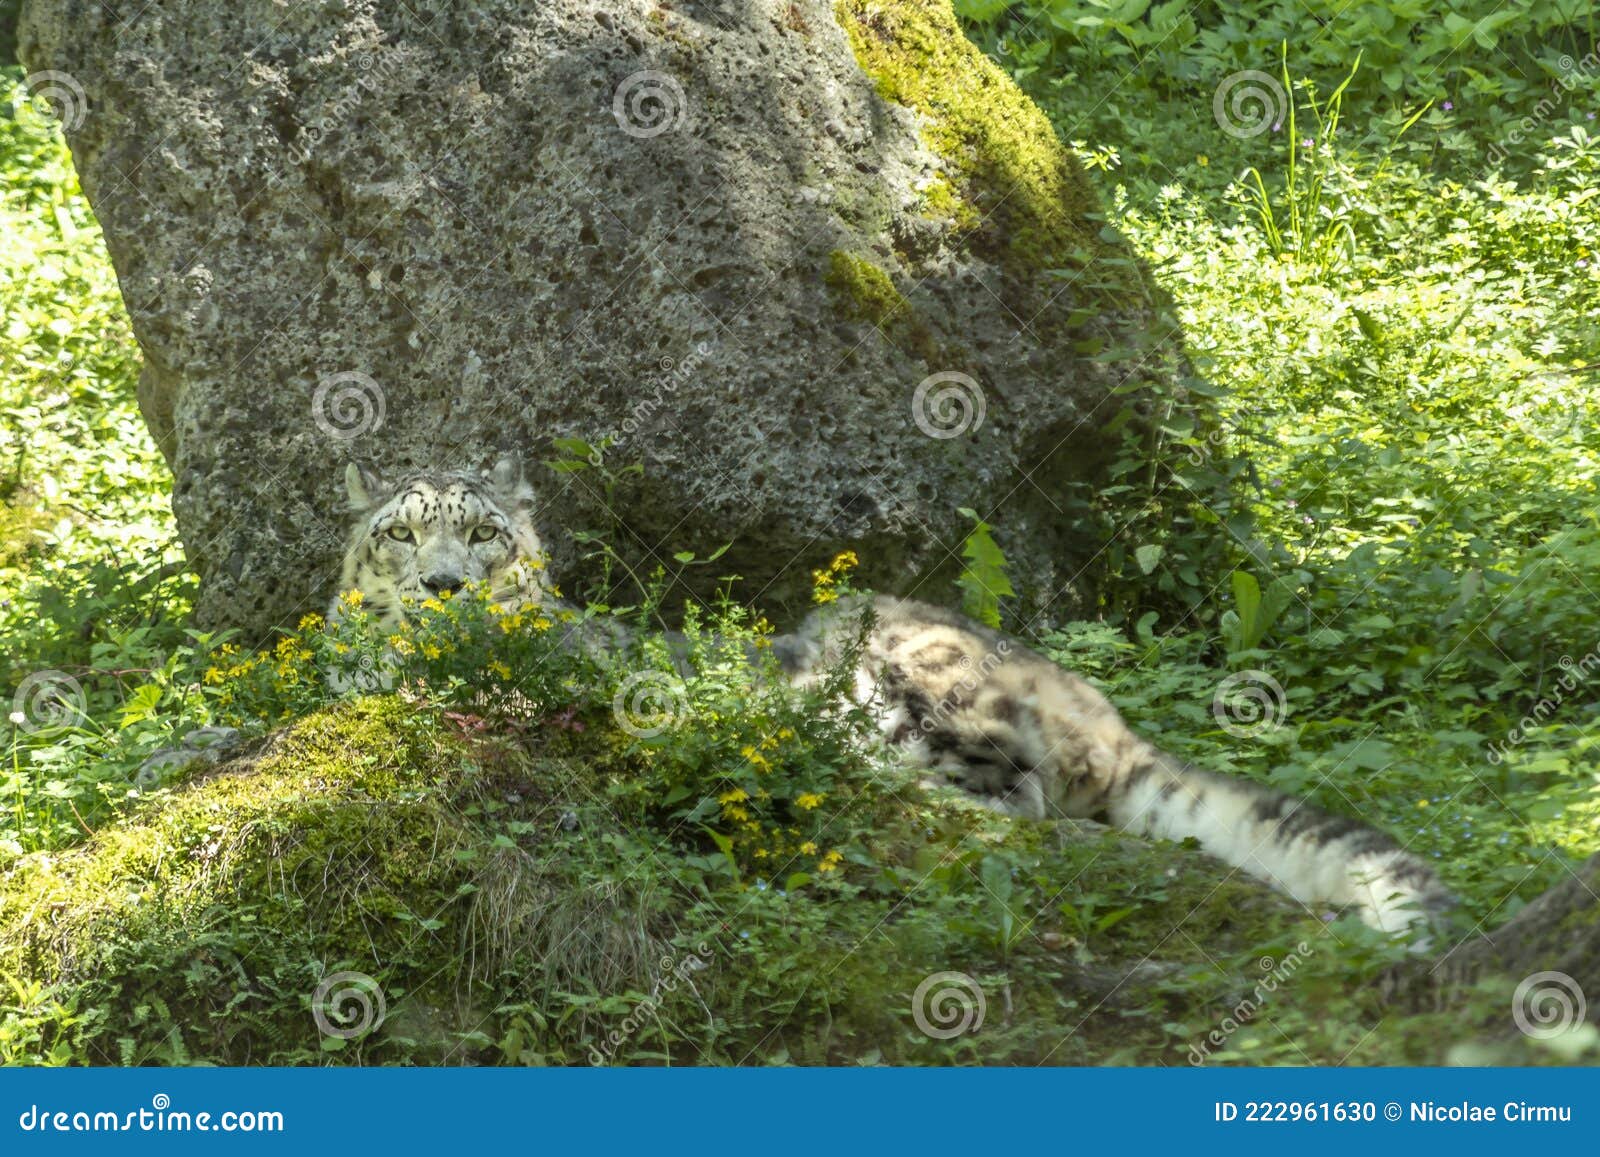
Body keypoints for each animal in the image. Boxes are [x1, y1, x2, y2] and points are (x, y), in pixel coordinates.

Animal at [330, 454, 1455, 948]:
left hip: (911, 671)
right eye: (403, 531)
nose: (443, 585)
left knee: (1011, 799)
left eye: (483, 532)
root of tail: (1105, 715)